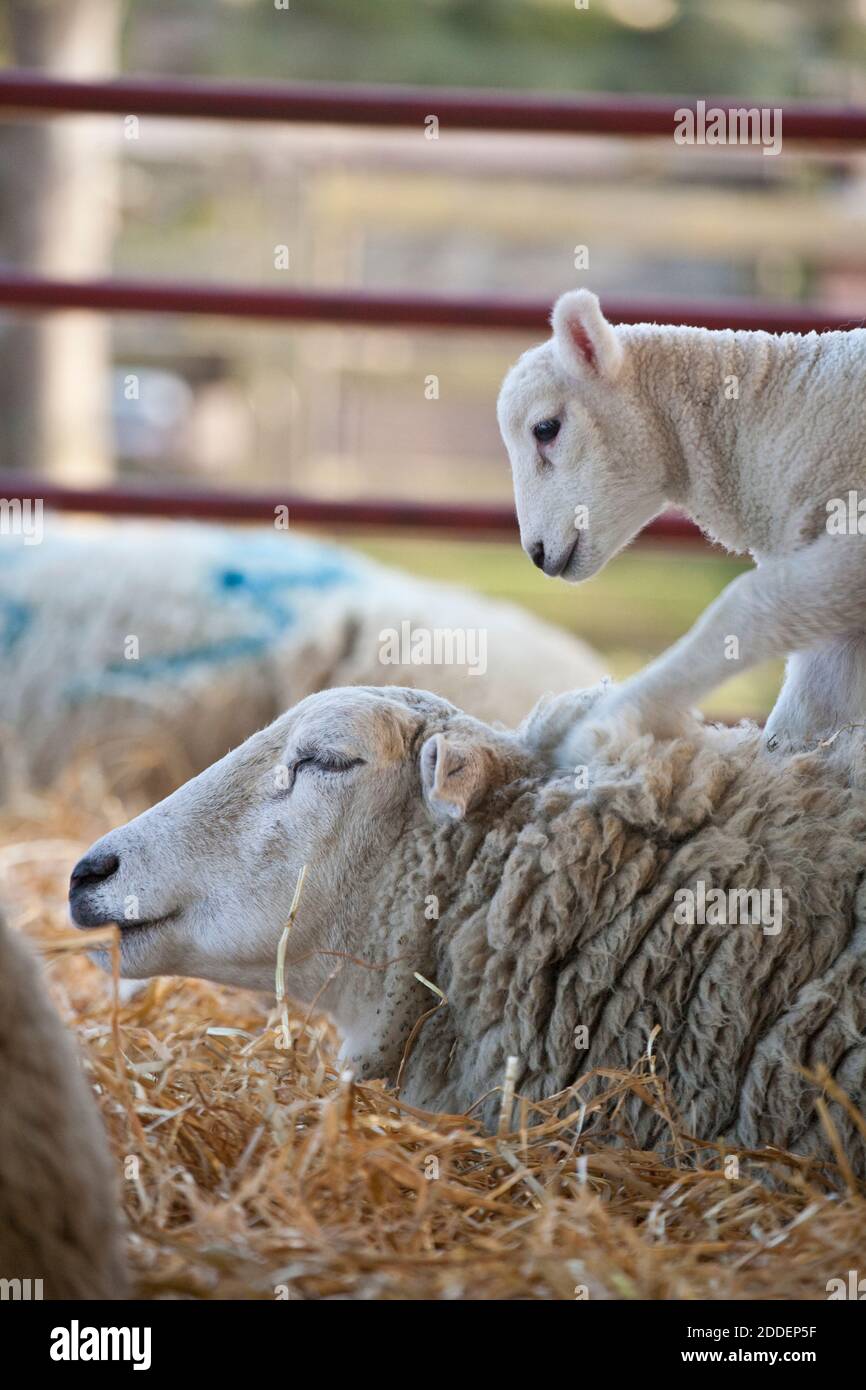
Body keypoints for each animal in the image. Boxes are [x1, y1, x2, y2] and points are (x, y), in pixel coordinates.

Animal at [496, 288, 866, 756]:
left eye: (545, 429)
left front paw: (606, 723)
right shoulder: (837, 613)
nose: (537, 554)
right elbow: (804, 716)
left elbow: (747, 606)